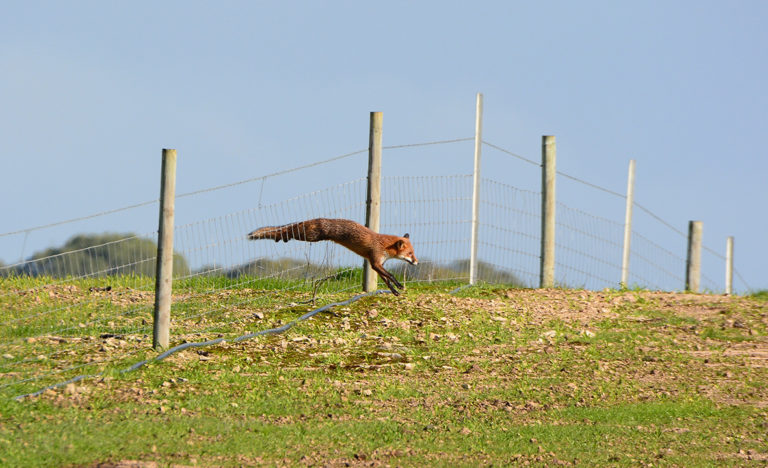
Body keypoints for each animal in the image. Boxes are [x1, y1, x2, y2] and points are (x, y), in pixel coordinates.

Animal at [247, 218, 418, 296]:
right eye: (410, 254)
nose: (416, 262)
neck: (383, 245)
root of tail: (317, 219)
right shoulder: (375, 261)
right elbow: (391, 275)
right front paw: (399, 285)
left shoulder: (376, 264)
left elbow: (387, 279)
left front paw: (395, 291)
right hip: (311, 236)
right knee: (291, 230)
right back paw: (279, 235)